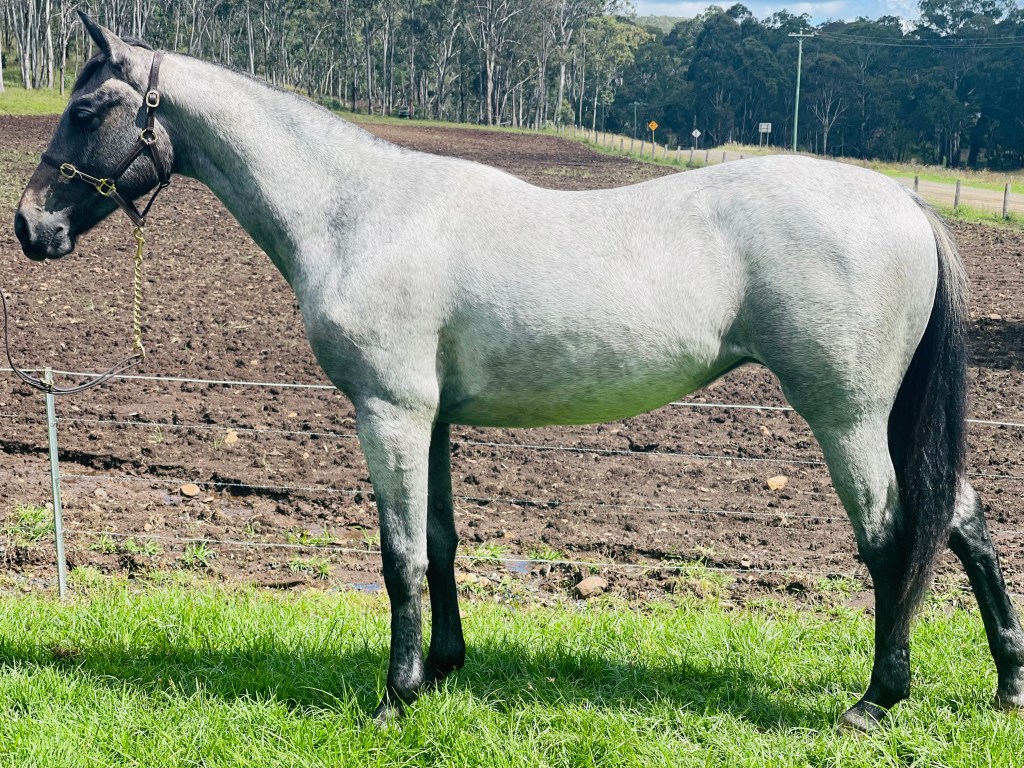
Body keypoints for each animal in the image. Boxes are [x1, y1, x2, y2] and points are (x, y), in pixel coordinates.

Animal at [13, 14, 1024, 731]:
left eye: (89, 109)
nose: (30, 227)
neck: (356, 211)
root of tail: (902, 202)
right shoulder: (432, 420)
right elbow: (441, 543)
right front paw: (442, 670)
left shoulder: (388, 412)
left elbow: (399, 556)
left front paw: (394, 697)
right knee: (962, 517)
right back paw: (1006, 684)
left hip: (844, 414)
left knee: (892, 537)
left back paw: (877, 699)